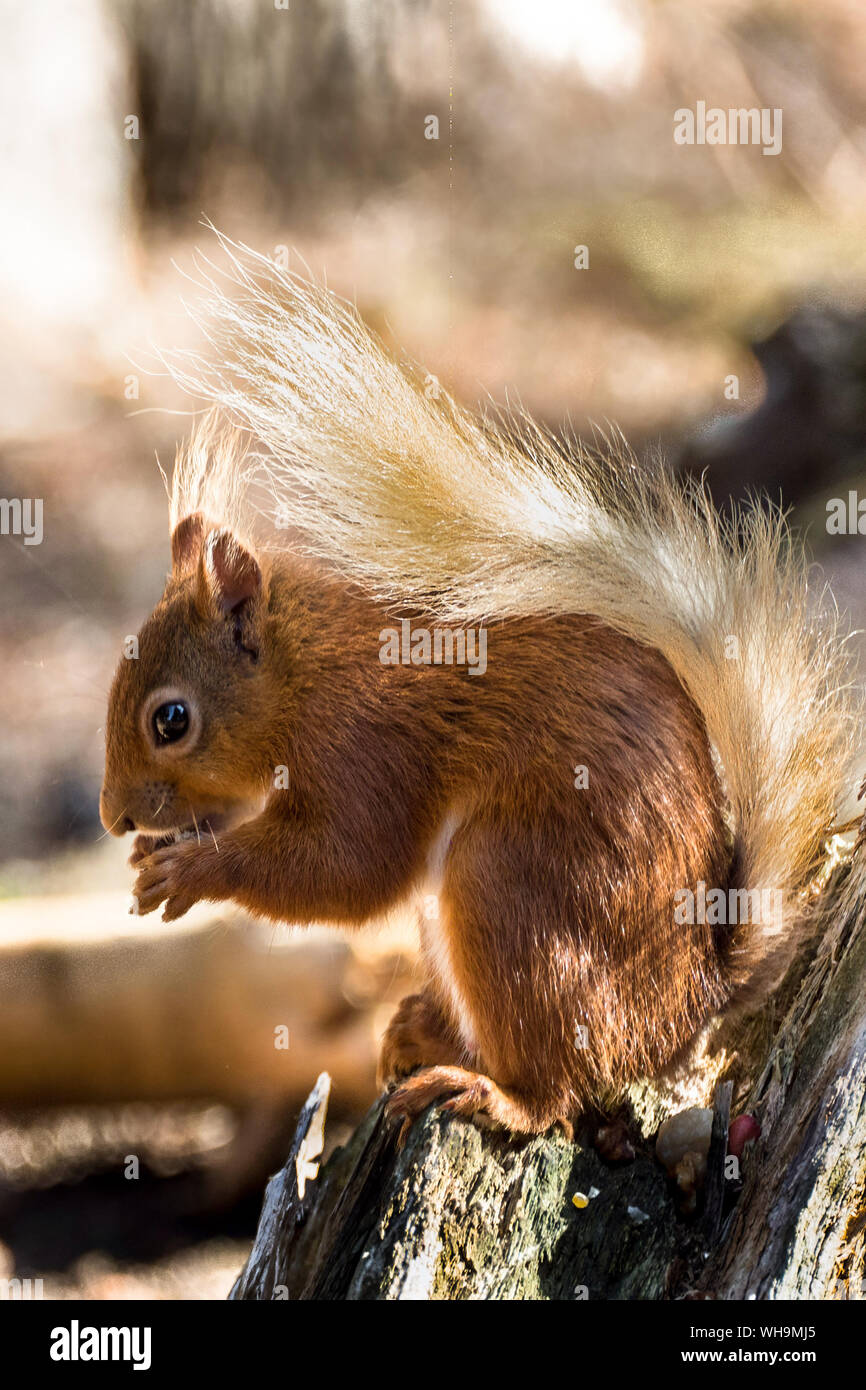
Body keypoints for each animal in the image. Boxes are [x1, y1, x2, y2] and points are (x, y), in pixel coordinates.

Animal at [100, 232, 860, 1138]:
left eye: (171, 720)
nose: (112, 818)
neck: (310, 669)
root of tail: (691, 999)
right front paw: (155, 855)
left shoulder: (367, 749)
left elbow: (348, 869)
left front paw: (193, 870)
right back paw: (422, 1030)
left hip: (511, 897)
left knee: (559, 1091)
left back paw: (490, 1089)